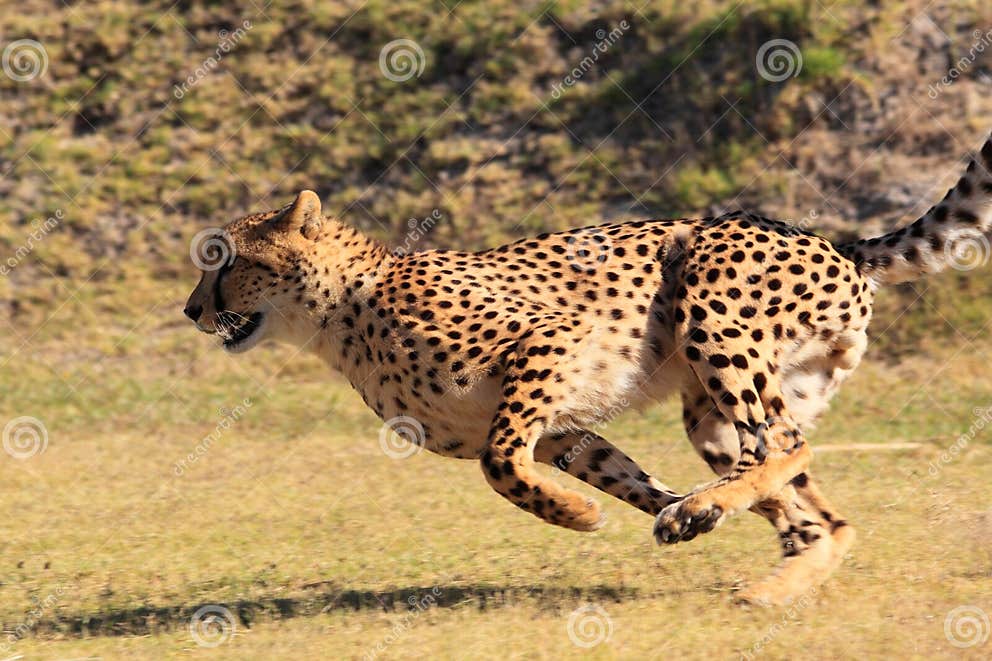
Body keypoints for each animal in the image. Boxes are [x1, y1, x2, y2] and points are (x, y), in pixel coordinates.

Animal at [184, 132, 992, 606]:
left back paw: (719, 520)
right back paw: (773, 567)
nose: (192, 310)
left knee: (786, 448)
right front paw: (619, 507)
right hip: (716, 411)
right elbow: (613, 478)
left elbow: (499, 462)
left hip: (707, 303)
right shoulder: (562, 433)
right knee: (807, 494)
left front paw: (586, 515)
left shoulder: (550, 339)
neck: (340, 312)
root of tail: (834, 241)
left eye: (226, 262)